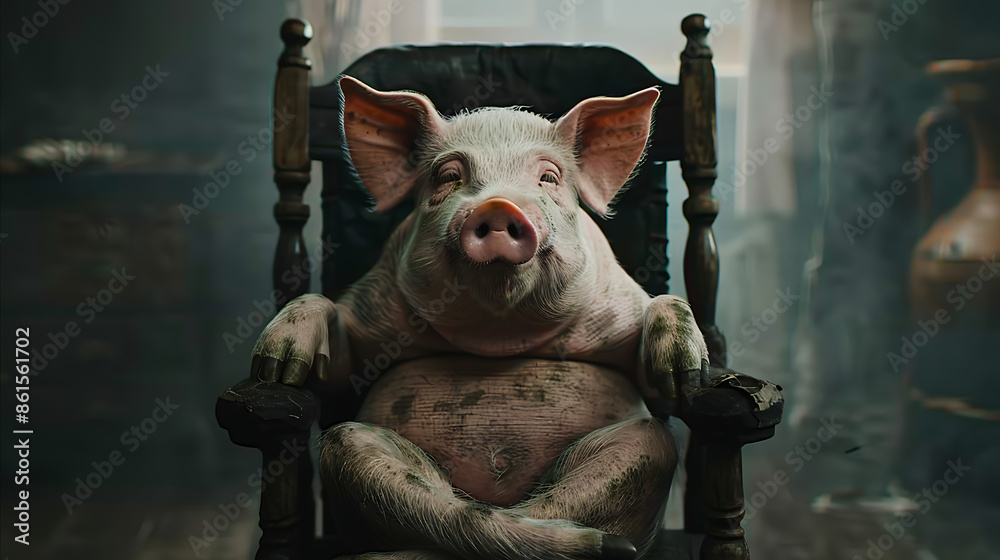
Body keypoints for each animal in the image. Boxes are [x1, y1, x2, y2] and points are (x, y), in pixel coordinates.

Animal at [249, 75, 711, 560]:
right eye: (449, 177)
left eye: (549, 177)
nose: (499, 206)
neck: (498, 334)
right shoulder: (366, 326)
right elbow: (333, 357)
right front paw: (275, 371)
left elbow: (660, 364)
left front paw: (687, 377)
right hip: (353, 451)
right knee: (438, 506)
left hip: (641, 452)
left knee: (637, 449)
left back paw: (613, 545)